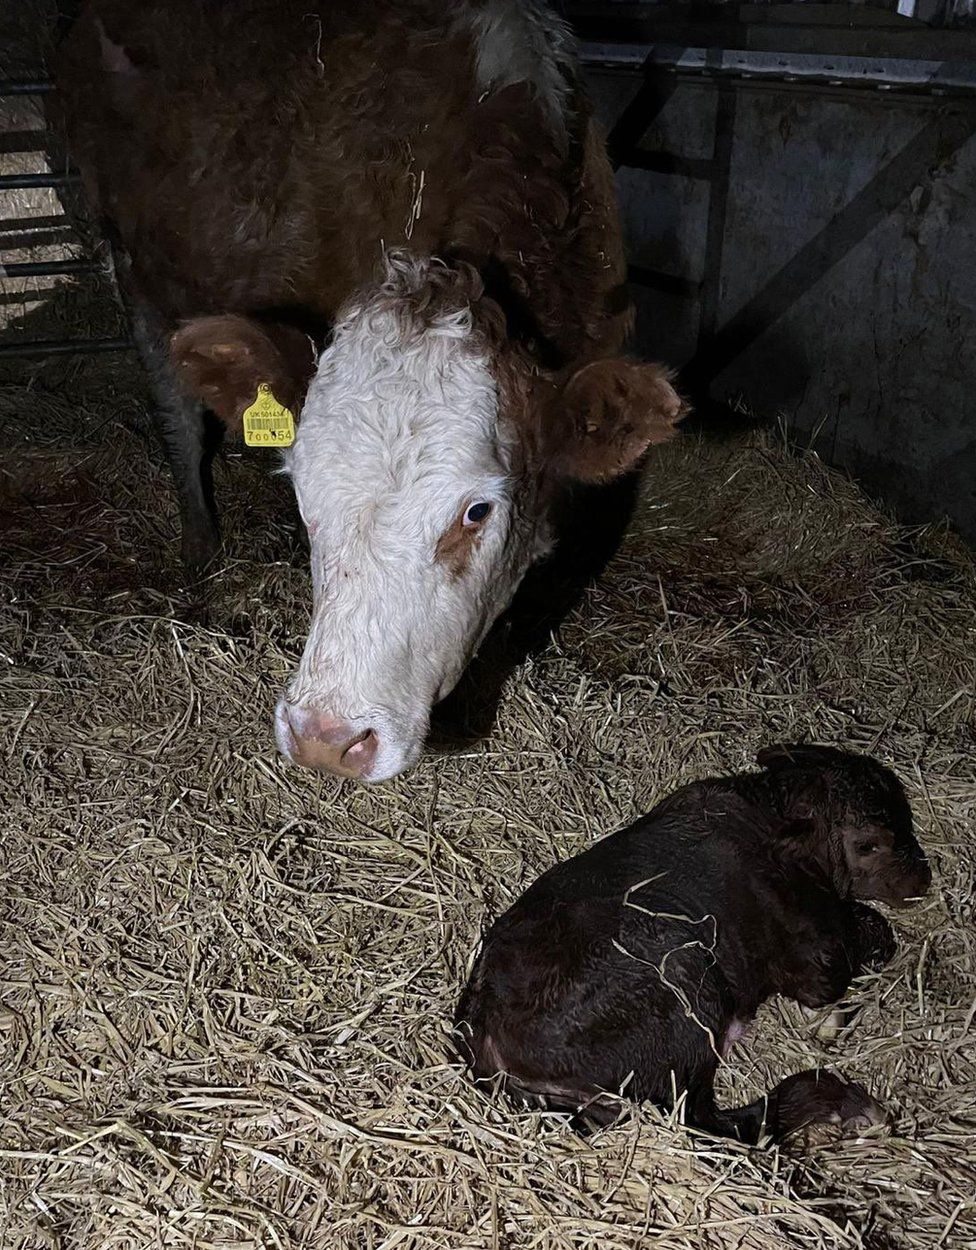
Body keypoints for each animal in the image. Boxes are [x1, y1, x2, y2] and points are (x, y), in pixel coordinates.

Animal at [55, 0, 685, 783]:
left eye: (477, 510)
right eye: (301, 490)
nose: (326, 737)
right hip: (132, 258)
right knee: (176, 408)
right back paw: (200, 545)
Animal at [455, 744, 932, 1142]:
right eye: (870, 843)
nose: (922, 880)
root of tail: (487, 1045)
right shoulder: (811, 953)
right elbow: (862, 945)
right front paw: (830, 1022)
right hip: (688, 993)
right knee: (710, 1123)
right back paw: (850, 1104)